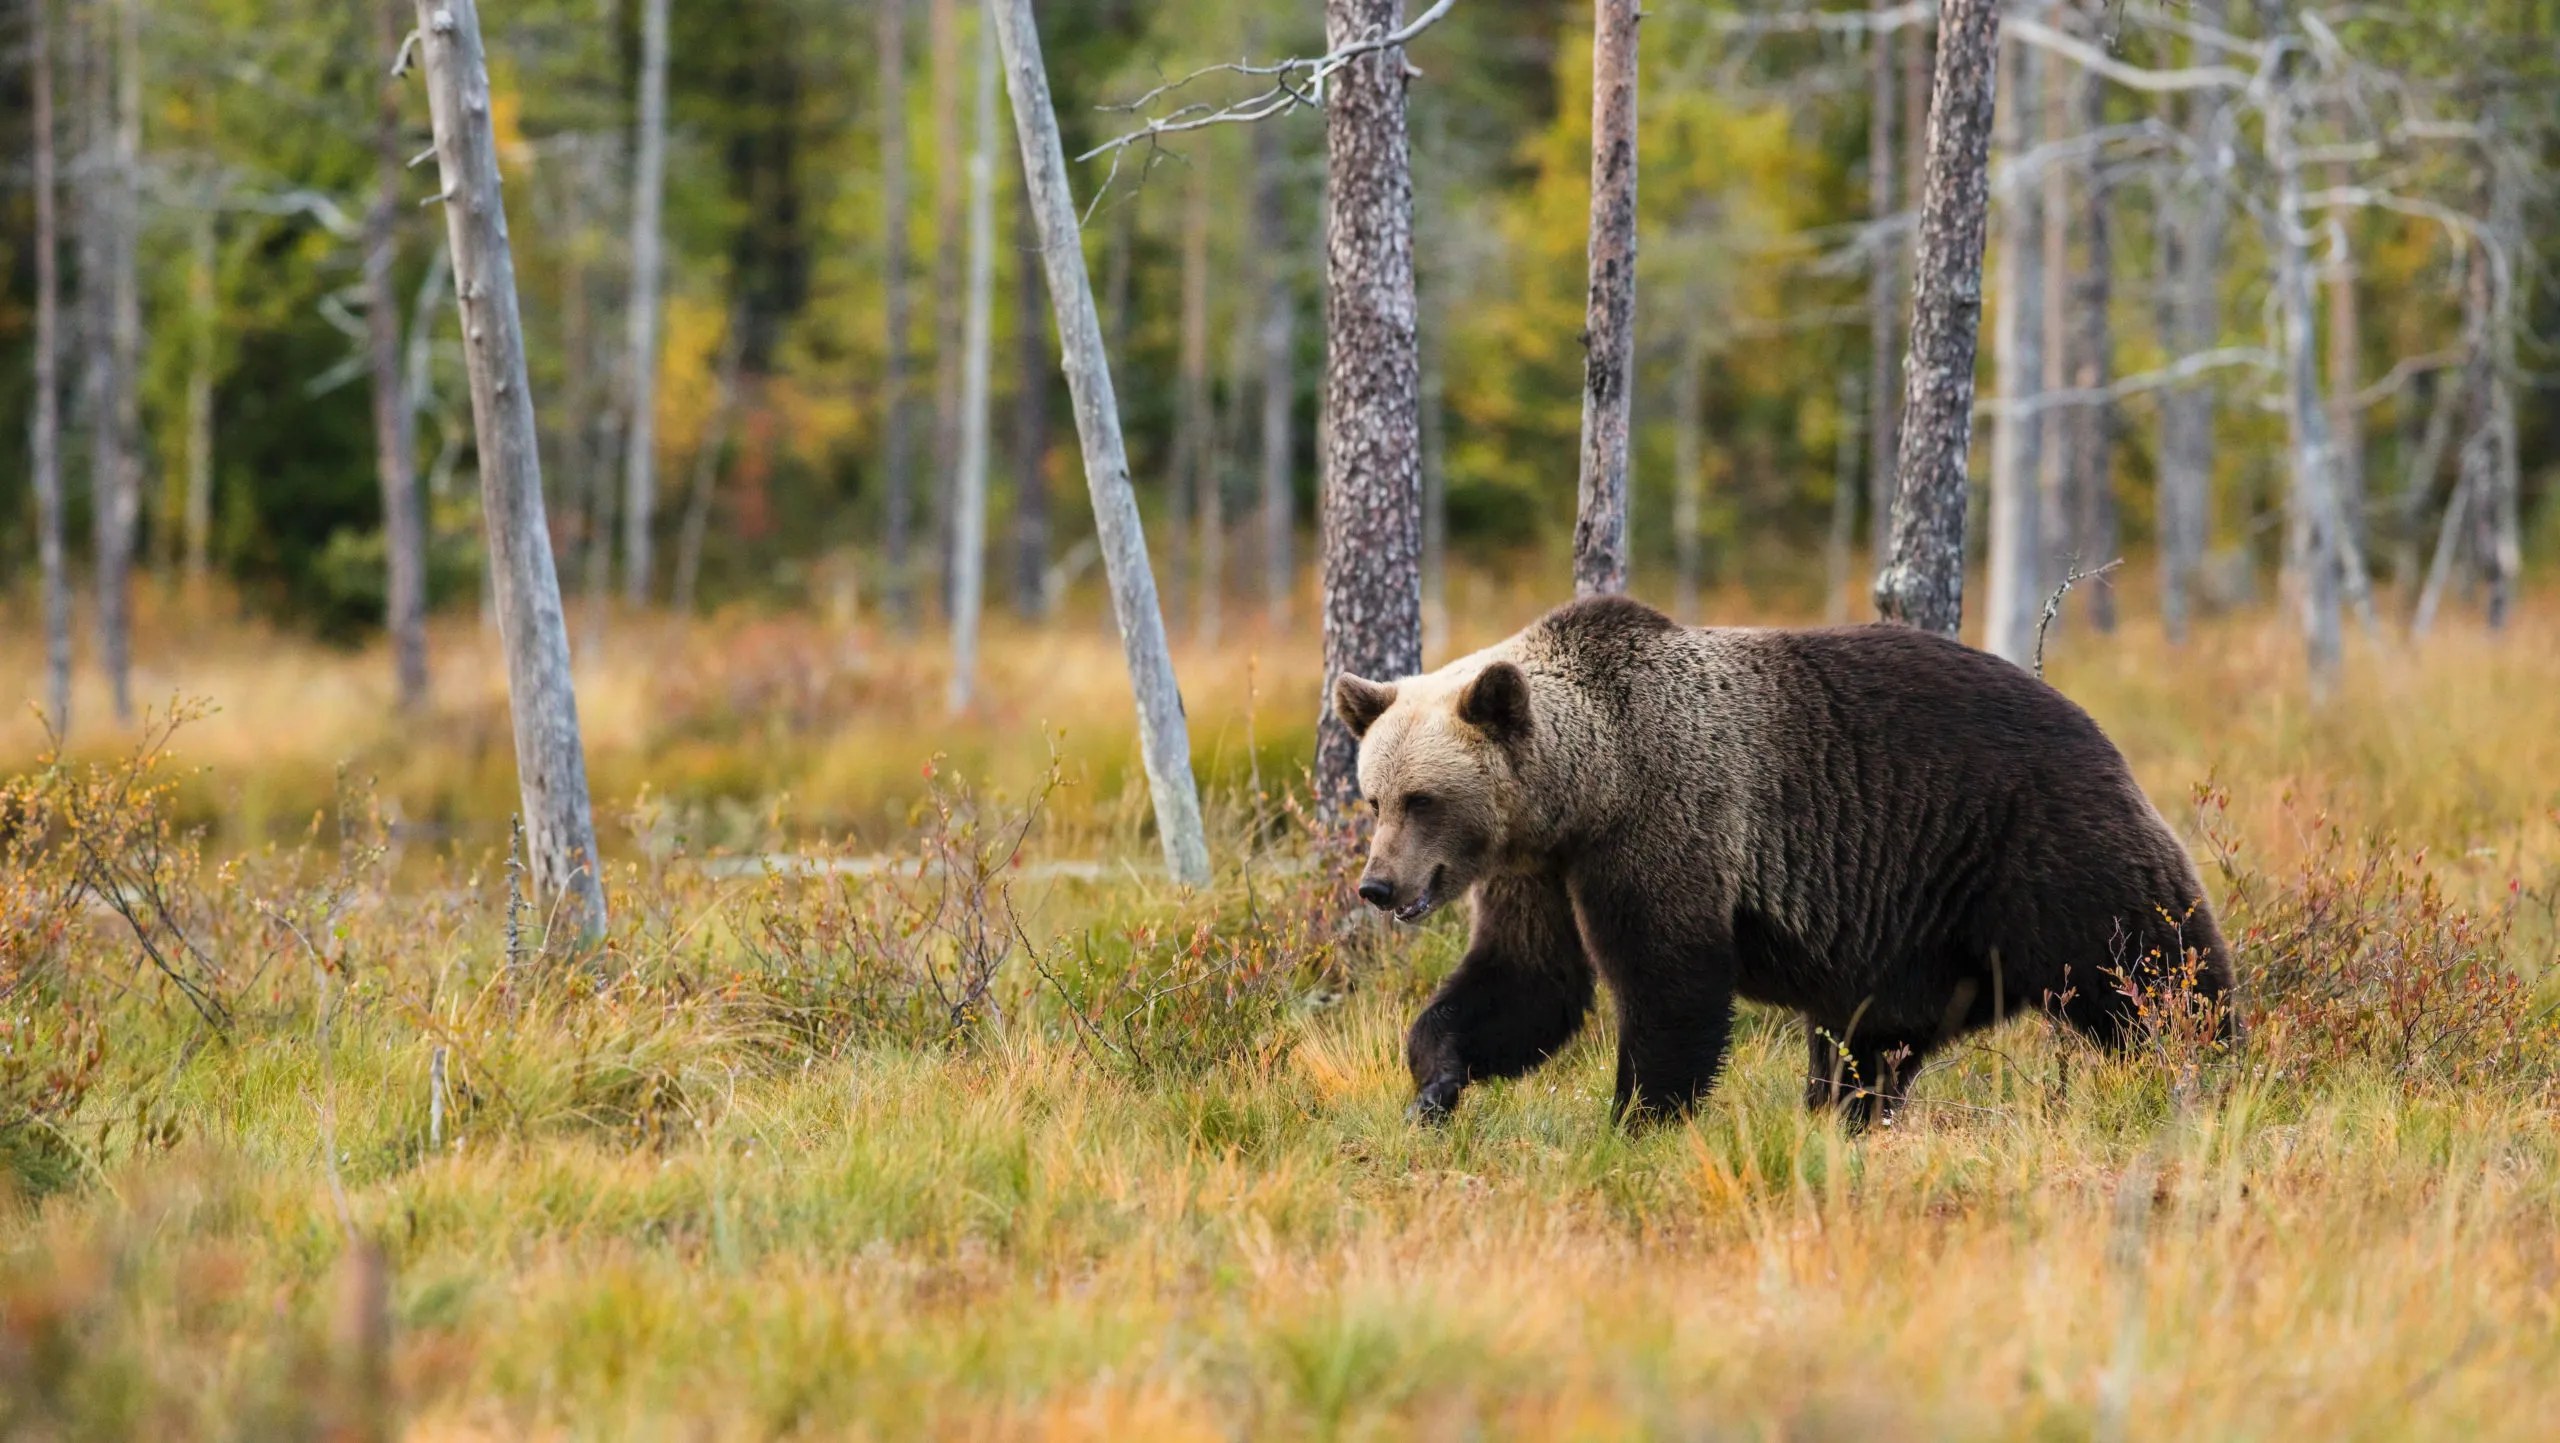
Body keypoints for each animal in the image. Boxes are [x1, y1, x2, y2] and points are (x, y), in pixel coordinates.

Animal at [1333, 595, 2235, 1128]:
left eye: (1423, 799)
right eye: (1374, 796)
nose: (1378, 884)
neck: (1587, 788)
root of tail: (2096, 727)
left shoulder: (1667, 821)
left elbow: (1670, 984)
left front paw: (1638, 1117)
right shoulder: (1540, 870)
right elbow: (1525, 982)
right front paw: (1434, 1083)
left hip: (2036, 845)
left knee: (2150, 964)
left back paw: (2210, 1063)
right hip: (1916, 929)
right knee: (1873, 1040)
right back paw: (1846, 1114)